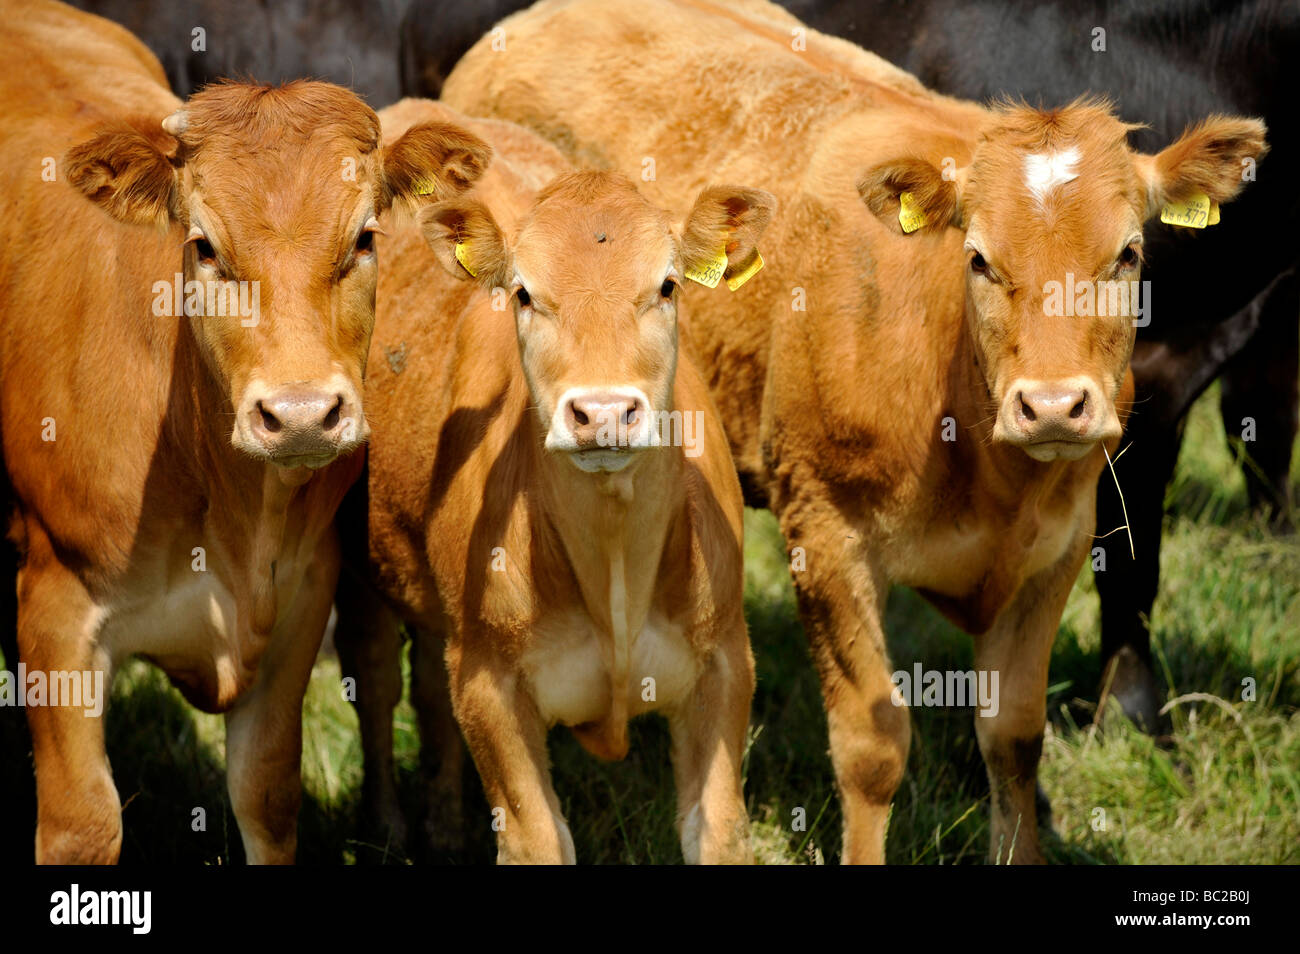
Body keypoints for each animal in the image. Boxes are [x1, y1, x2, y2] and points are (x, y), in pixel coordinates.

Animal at [0, 0, 490, 863]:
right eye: (204, 246)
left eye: (365, 238)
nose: (299, 413)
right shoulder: (55, 611)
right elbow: (82, 827)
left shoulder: (299, 602)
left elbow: (266, 798)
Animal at [332, 98, 770, 864]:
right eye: (524, 294)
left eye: (667, 285)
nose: (603, 412)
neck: (614, 554)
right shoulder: (490, 683)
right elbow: (537, 837)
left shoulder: (725, 663)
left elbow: (716, 830)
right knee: (378, 676)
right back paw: (387, 823)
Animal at [441, 0, 1267, 862]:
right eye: (978, 257)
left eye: (1128, 254)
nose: (1051, 405)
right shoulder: (826, 533)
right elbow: (872, 748)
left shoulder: (1061, 545)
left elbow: (1013, 736)